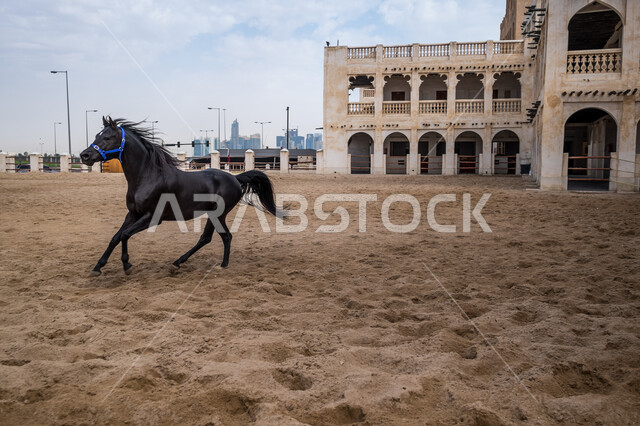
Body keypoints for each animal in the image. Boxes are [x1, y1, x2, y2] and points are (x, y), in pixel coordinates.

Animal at [80, 116, 278, 276]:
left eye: (107, 137)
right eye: (96, 135)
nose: (84, 155)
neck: (147, 176)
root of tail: (235, 178)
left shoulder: (152, 217)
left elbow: (124, 235)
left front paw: (126, 264)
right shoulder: (133, 214)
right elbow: (116, 236)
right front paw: (98, 267)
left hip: (218, 214)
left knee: (219, 237)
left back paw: (213, 264)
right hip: (213, 214)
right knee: (213, 237)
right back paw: (188, 262)